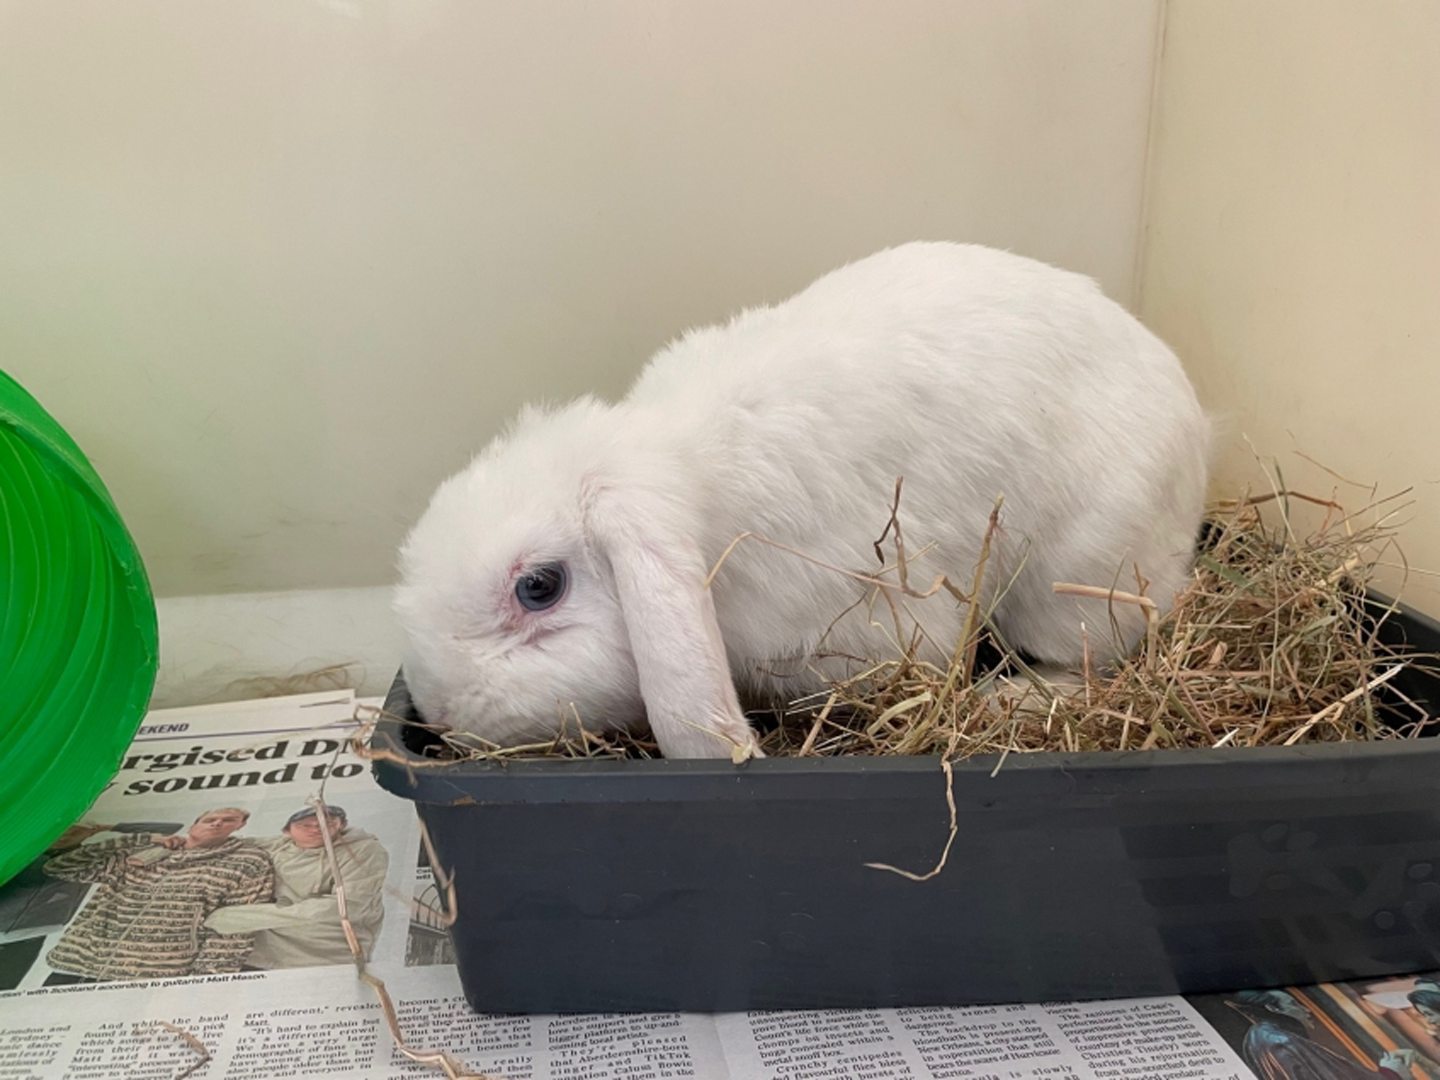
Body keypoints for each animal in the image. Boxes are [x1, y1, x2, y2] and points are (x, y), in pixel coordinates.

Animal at [393, 241, 1212, 759]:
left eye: (539, 586)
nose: (438, 716)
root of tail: (1197, 425)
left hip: (1081, 580)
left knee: (1093, 658)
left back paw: (1013, 699)